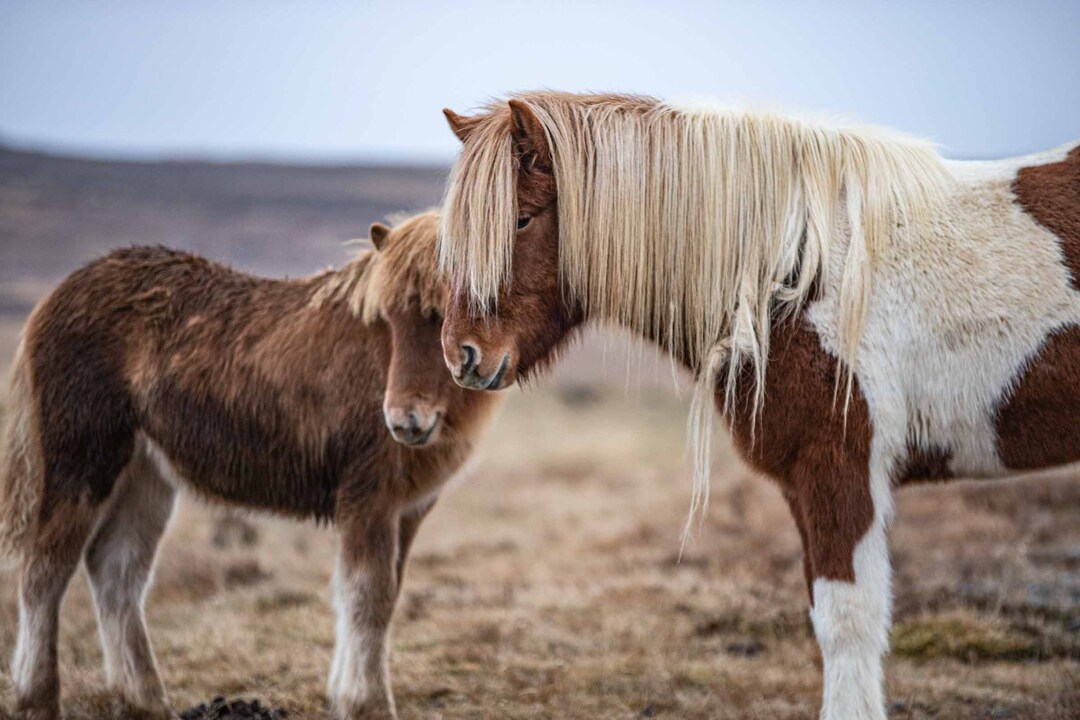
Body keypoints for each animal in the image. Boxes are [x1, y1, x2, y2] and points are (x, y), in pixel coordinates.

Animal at [0, 210, 502, 720]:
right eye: (389, 319)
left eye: (443, 313)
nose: (405, 421)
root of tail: (55, 297)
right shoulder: (368, 498)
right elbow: (368, 596)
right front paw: (368, 705)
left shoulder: (408, 509)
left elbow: (376, 596)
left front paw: (343, 697)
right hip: (83, 464)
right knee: (45, 570)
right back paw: (37, 698)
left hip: (145, 475)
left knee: (116, 573)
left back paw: (146, 701)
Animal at [436, 91, 1079, 720]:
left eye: (522, 219)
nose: (462, 355)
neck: (793, 274)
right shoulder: (804, 483)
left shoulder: (840, 470)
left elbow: (848, 623)